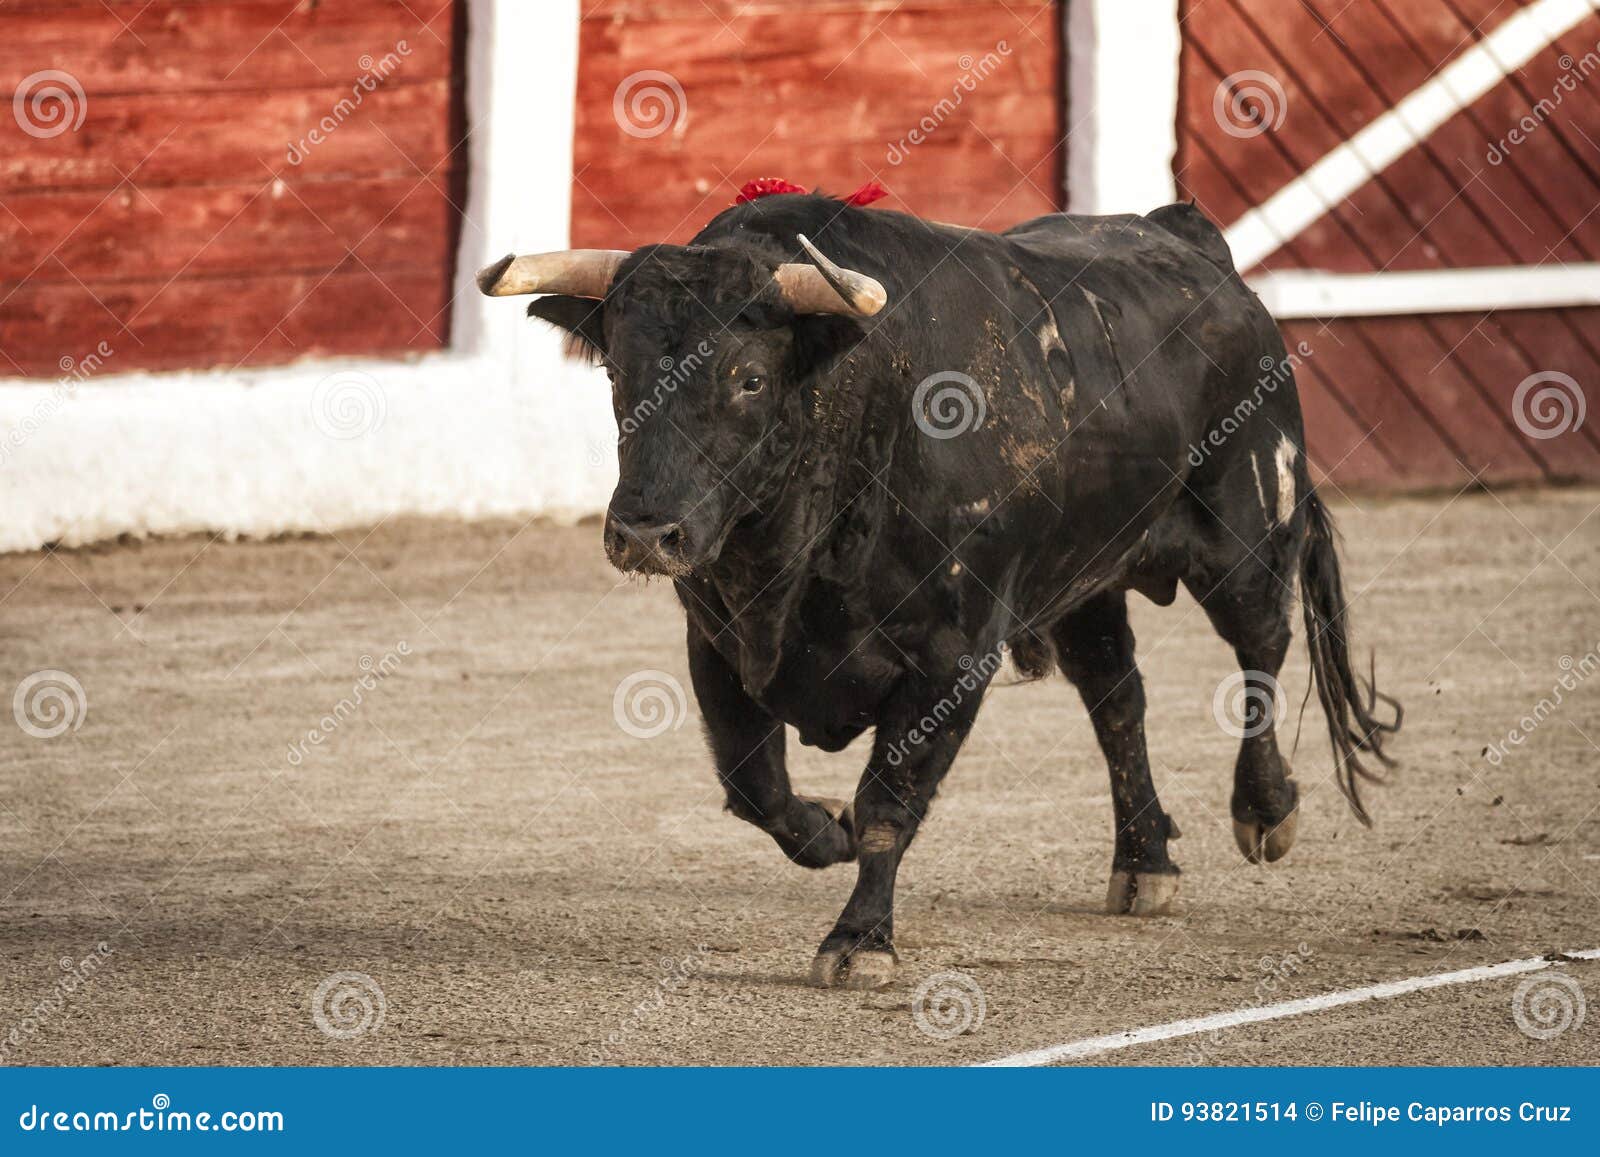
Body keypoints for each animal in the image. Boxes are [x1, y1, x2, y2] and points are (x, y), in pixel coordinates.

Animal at [477, 191, 1401, 990]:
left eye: (748, 378)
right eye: (616, 377)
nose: (643, 533)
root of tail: (1190, 241)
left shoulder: (951, 658)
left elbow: (890, 799)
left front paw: (859, 940)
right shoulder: (718, 640)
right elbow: (755, 785)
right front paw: (828, 830)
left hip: (1249, 529)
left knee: (1261, 649)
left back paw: (1266, 808)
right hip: (1085, 581)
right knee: (1118, 699)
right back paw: (1144, 860)